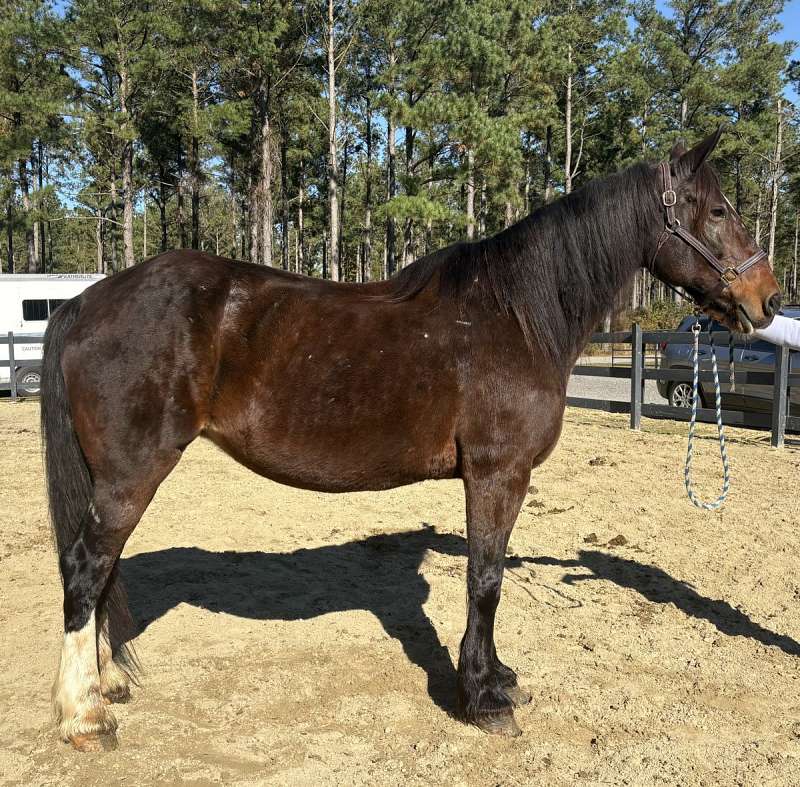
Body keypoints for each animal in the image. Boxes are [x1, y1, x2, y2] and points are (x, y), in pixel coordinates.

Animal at [41, 127, 780, 751]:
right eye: (717, 210)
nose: (769, 300)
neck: (514, 316)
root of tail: (86, 302)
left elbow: (487, 577)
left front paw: (497, 677)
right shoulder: (497, 474)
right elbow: (485, 580)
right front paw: (482, 700)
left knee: (103, 572)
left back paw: (108, 684)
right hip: (133, 472)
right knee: (85, 569)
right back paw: (85, 715)